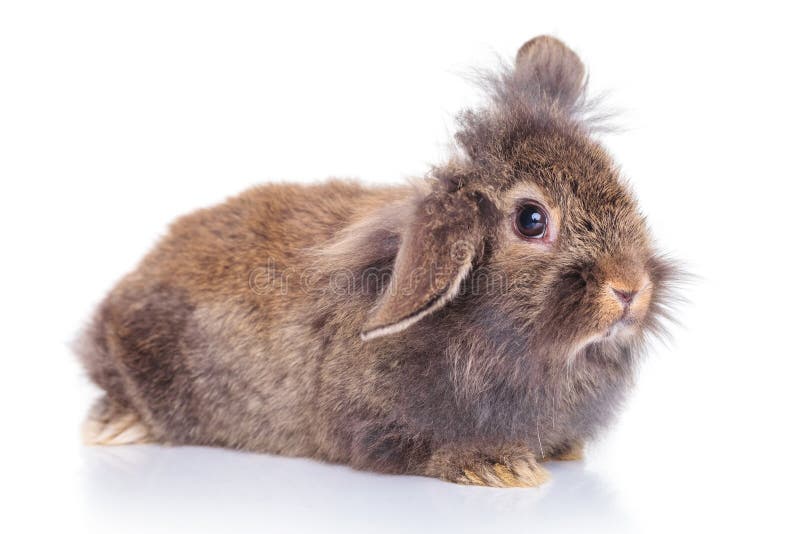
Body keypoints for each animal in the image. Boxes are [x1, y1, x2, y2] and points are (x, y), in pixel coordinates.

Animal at [76, 35, 678, 488]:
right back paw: (115, 426)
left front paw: (558, 452)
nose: (630, 288)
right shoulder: (374, 427)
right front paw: (500, 468)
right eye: (531, 219)